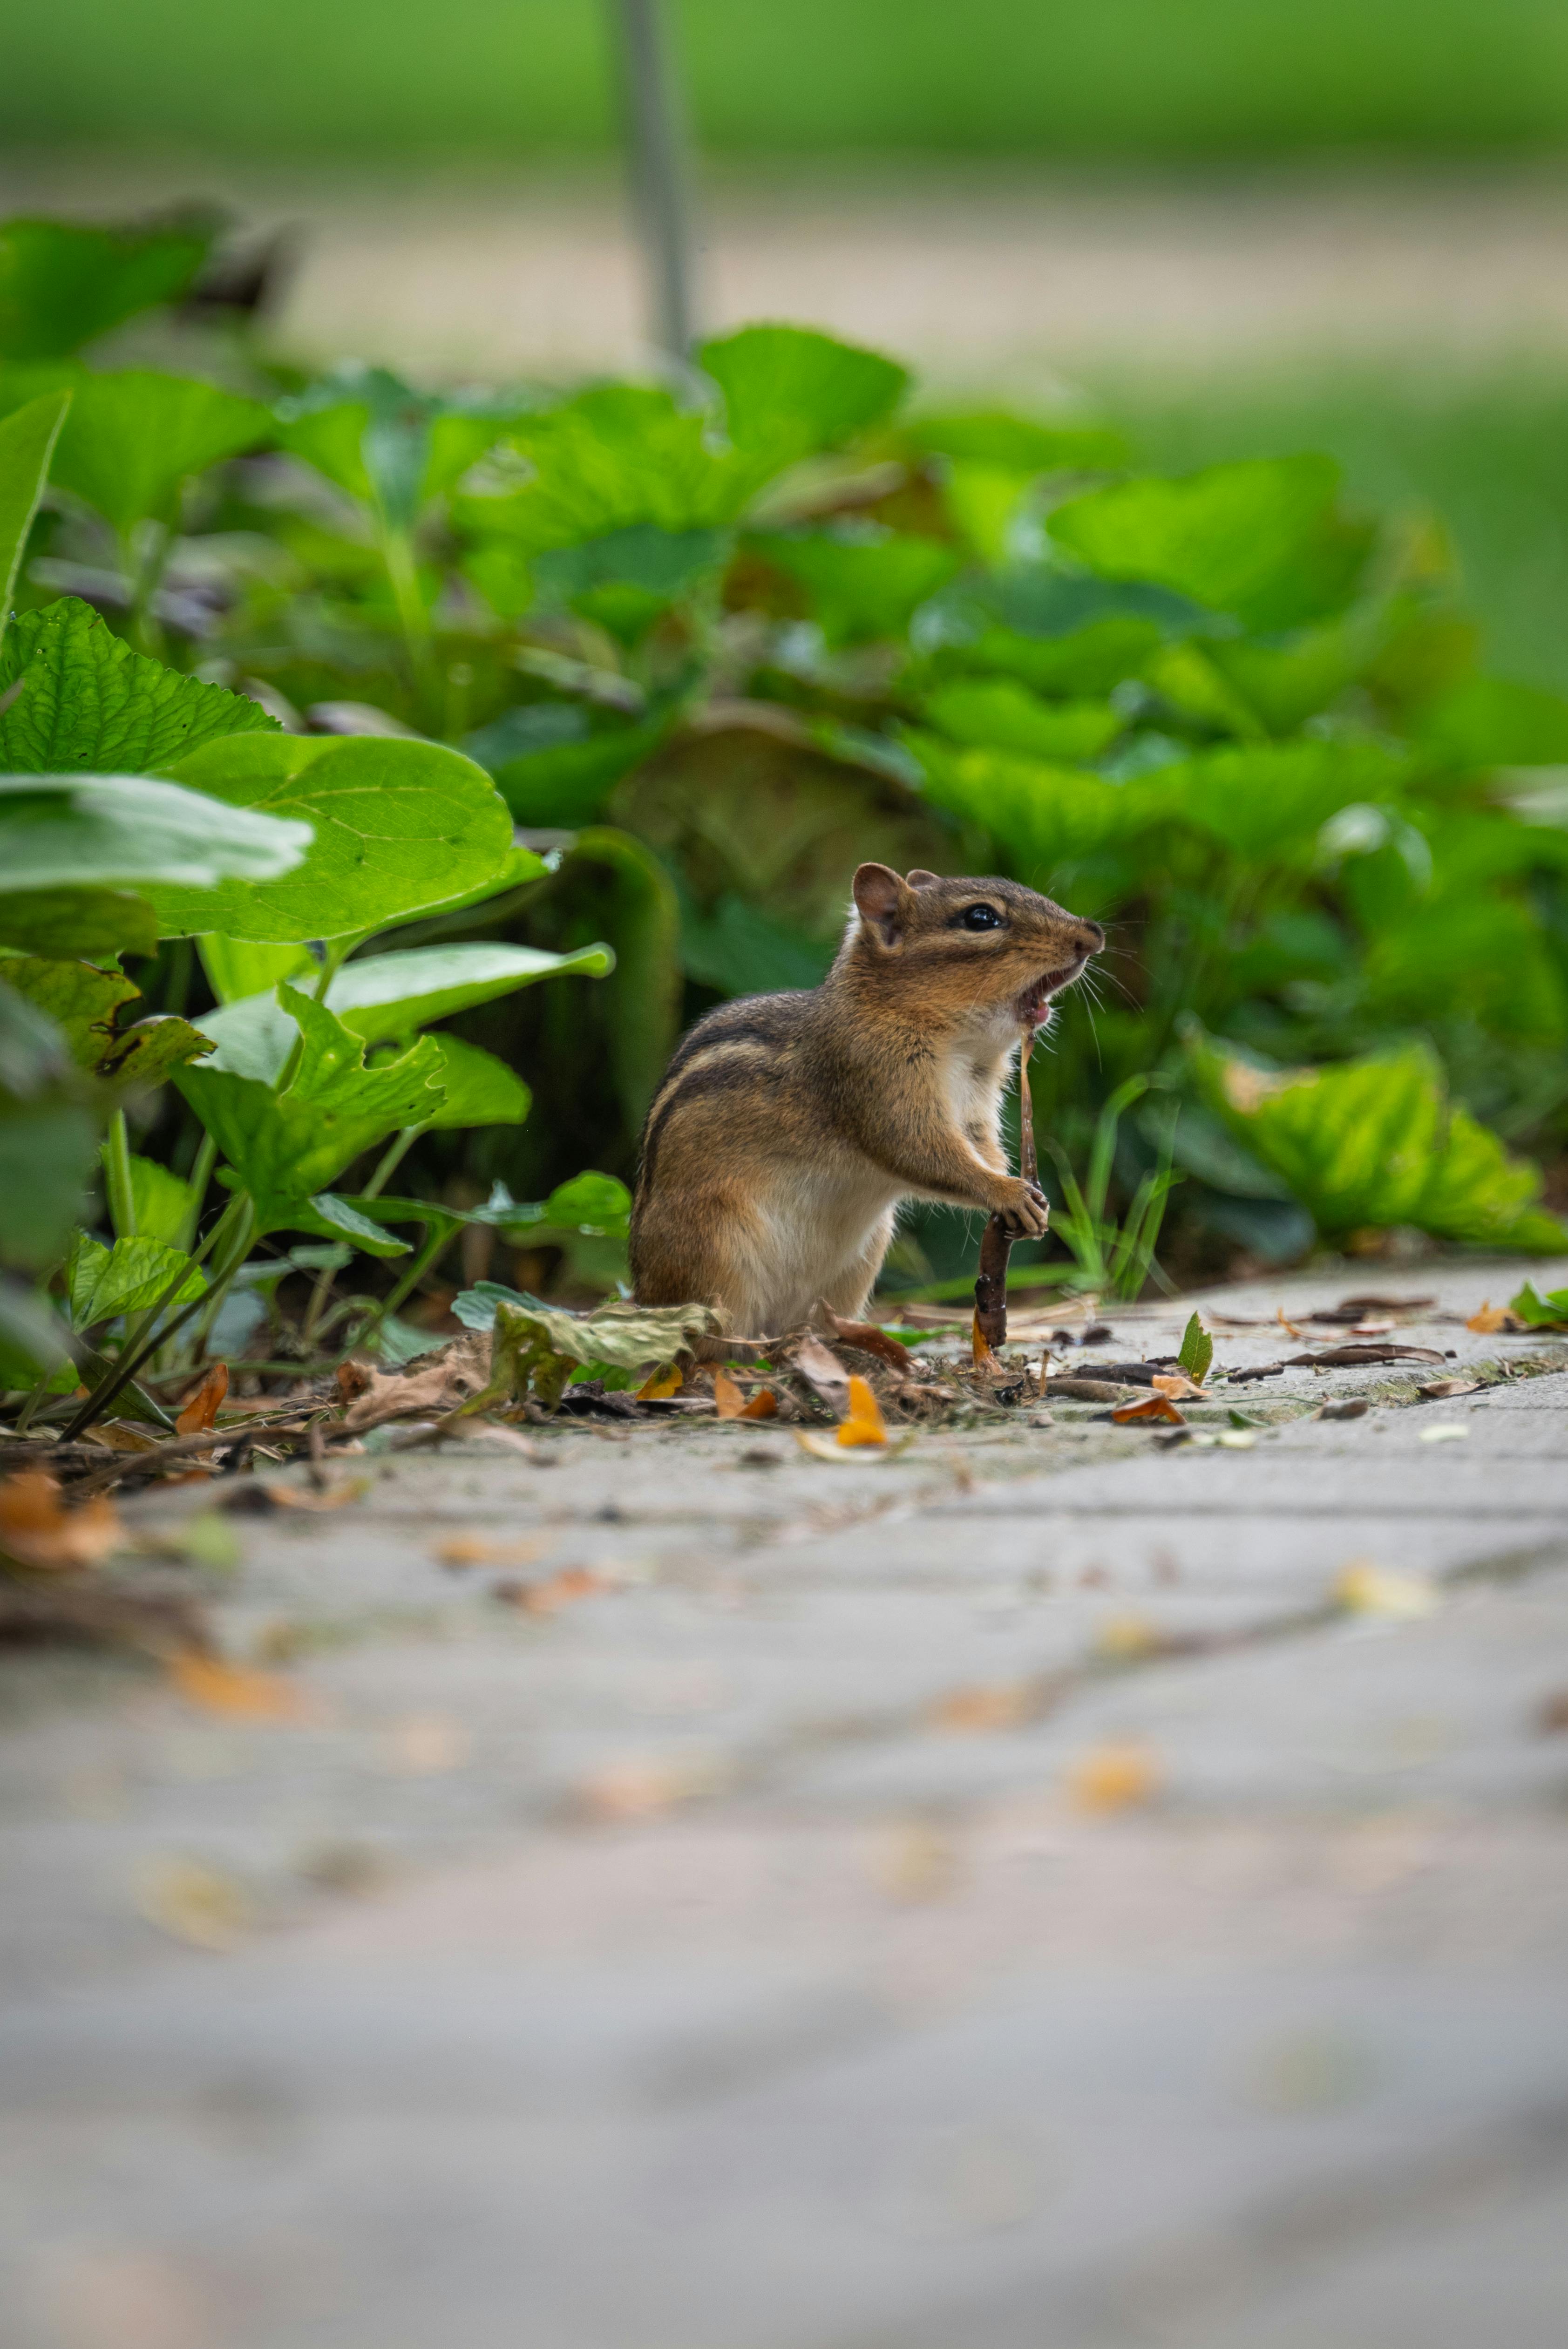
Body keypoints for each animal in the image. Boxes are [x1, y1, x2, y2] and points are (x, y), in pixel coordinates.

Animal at [629, 863, 1104, 1340]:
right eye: (980, 918)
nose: (1092, 934)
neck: (959, 1045)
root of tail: (643, 1296)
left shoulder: (974, 1110)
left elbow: (980, 1147)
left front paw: (1023, 1193)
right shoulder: (876, 1079)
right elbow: (919, 1150)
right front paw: (1007, 1192)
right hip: (717, 1255)